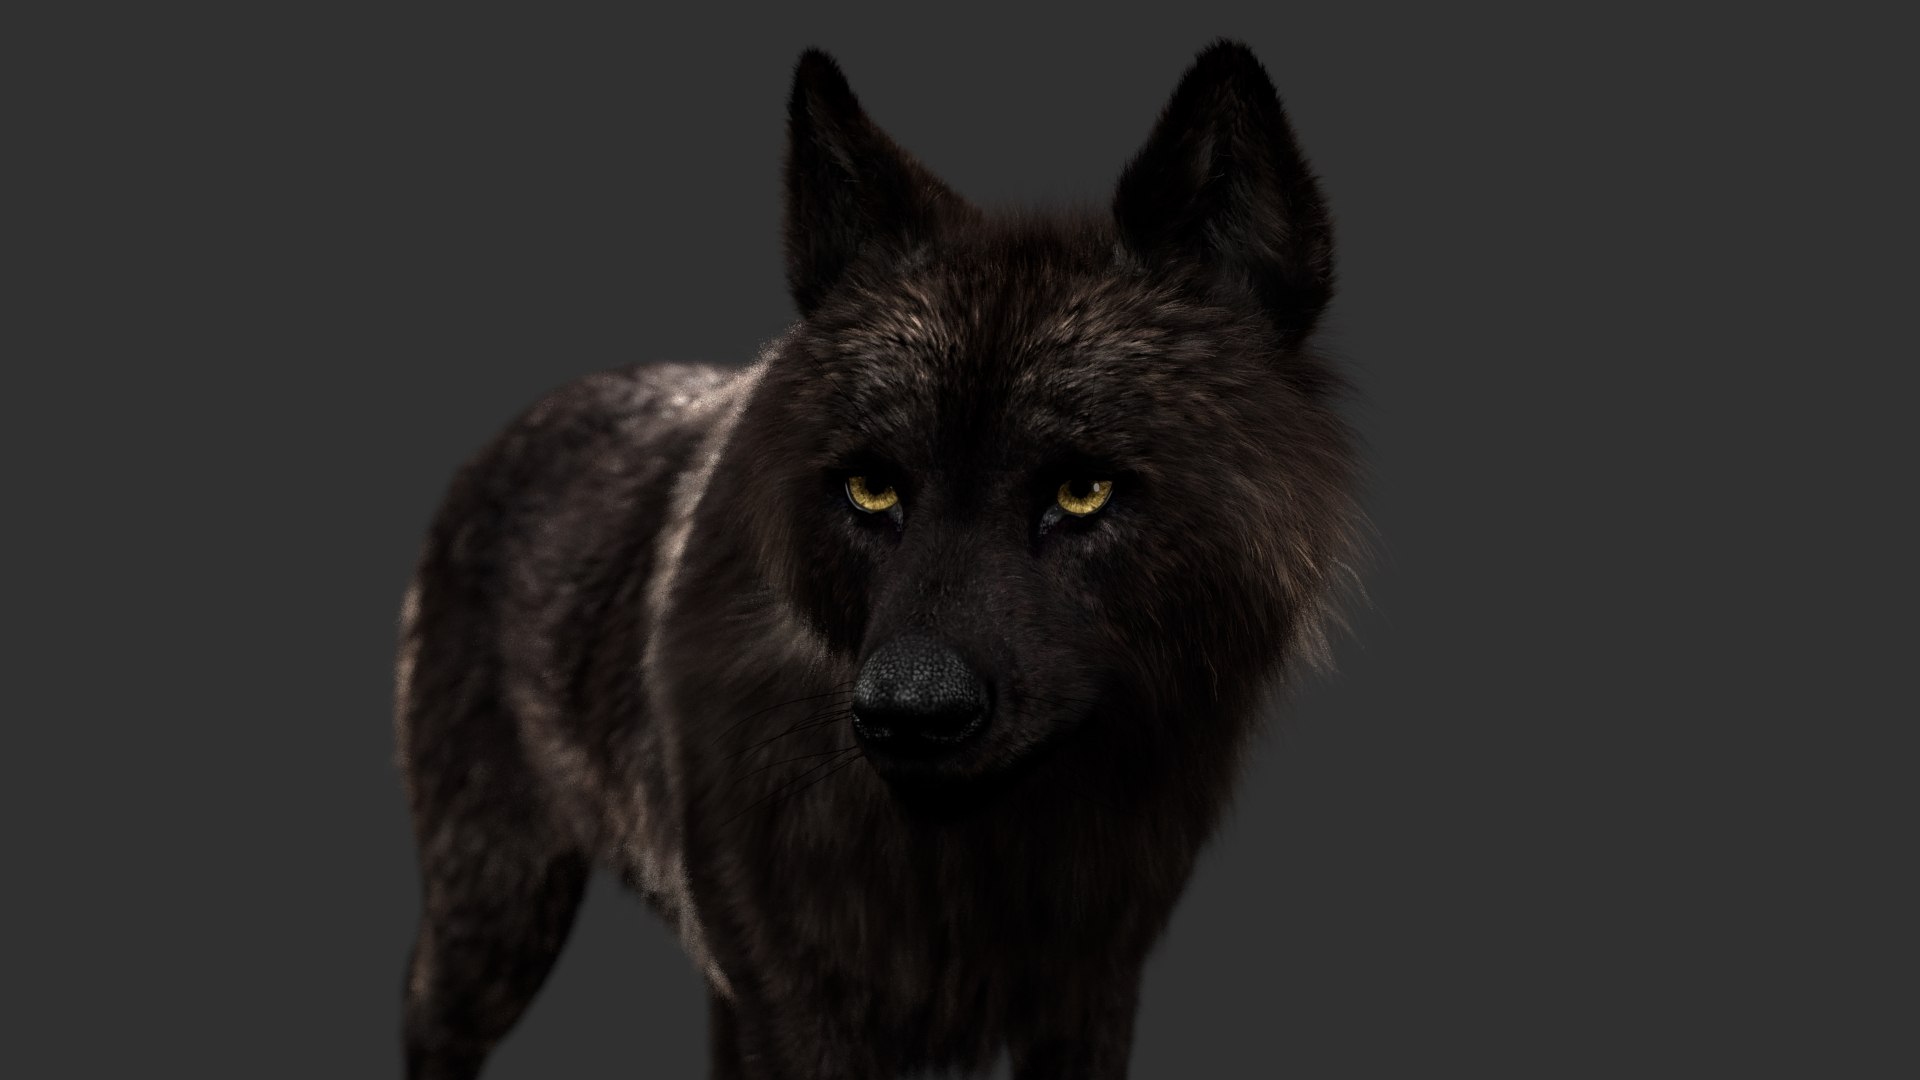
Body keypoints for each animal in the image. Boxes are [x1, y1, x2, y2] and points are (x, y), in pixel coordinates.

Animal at [395, 39, 1364, 1079]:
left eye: (1083, 492)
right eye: (870, 489)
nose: (910, 713)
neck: (976, 856)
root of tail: (523, 423)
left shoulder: (1093, 991)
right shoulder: (795, 1002)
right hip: (495, 921)